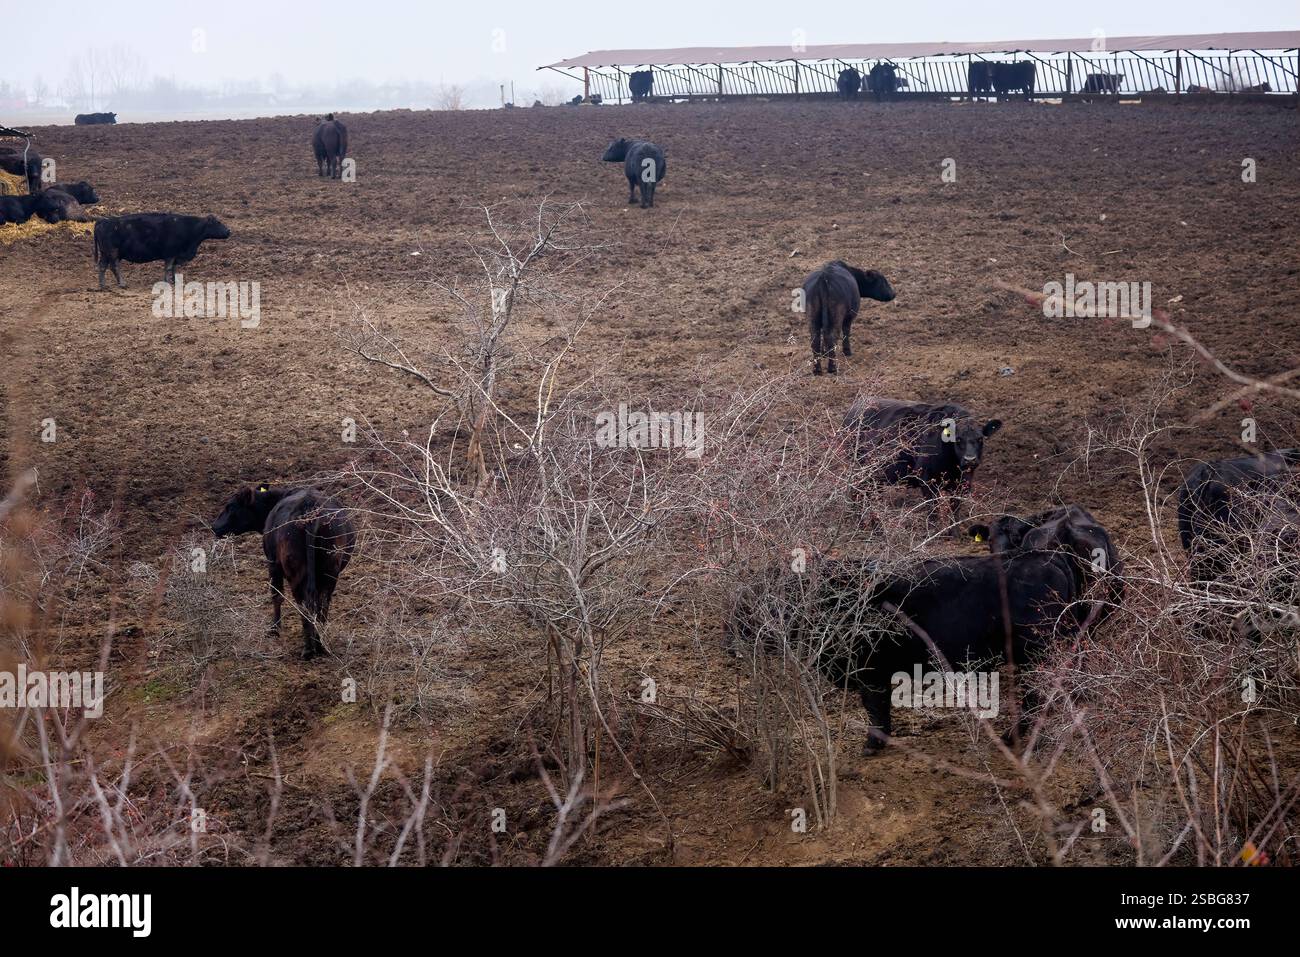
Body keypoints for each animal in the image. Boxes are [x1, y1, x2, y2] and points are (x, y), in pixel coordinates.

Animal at [93, 212, 231, 290]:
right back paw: (122, 284)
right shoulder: (171, 254)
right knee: (114, 266)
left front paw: (173, 281)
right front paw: (169, 281)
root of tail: (103, 221)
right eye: (218, 222)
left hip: (105, 253)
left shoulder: (174, 255)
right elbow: (168, 268)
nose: (229, 231)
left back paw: (103, 285)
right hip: (112, 252)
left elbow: (172, 268)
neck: (190, 227)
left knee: (102, 266)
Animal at [211, 484, 357, 659]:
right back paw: (321, 644)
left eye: (231, 506)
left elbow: (276, 594)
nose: (214, 526)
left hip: (294, 570)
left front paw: (274, 629)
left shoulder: (272, 562)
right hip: (329, 570)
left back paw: (309, 648)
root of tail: (309, 506)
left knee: (303, 602)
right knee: (322, 602)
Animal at [844, 396, 1001, 519]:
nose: (970, 460)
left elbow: (955, 509)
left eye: (980, 439)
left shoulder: (963, 482)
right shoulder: (927, 481)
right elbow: (933, 511)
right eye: (958, 439)